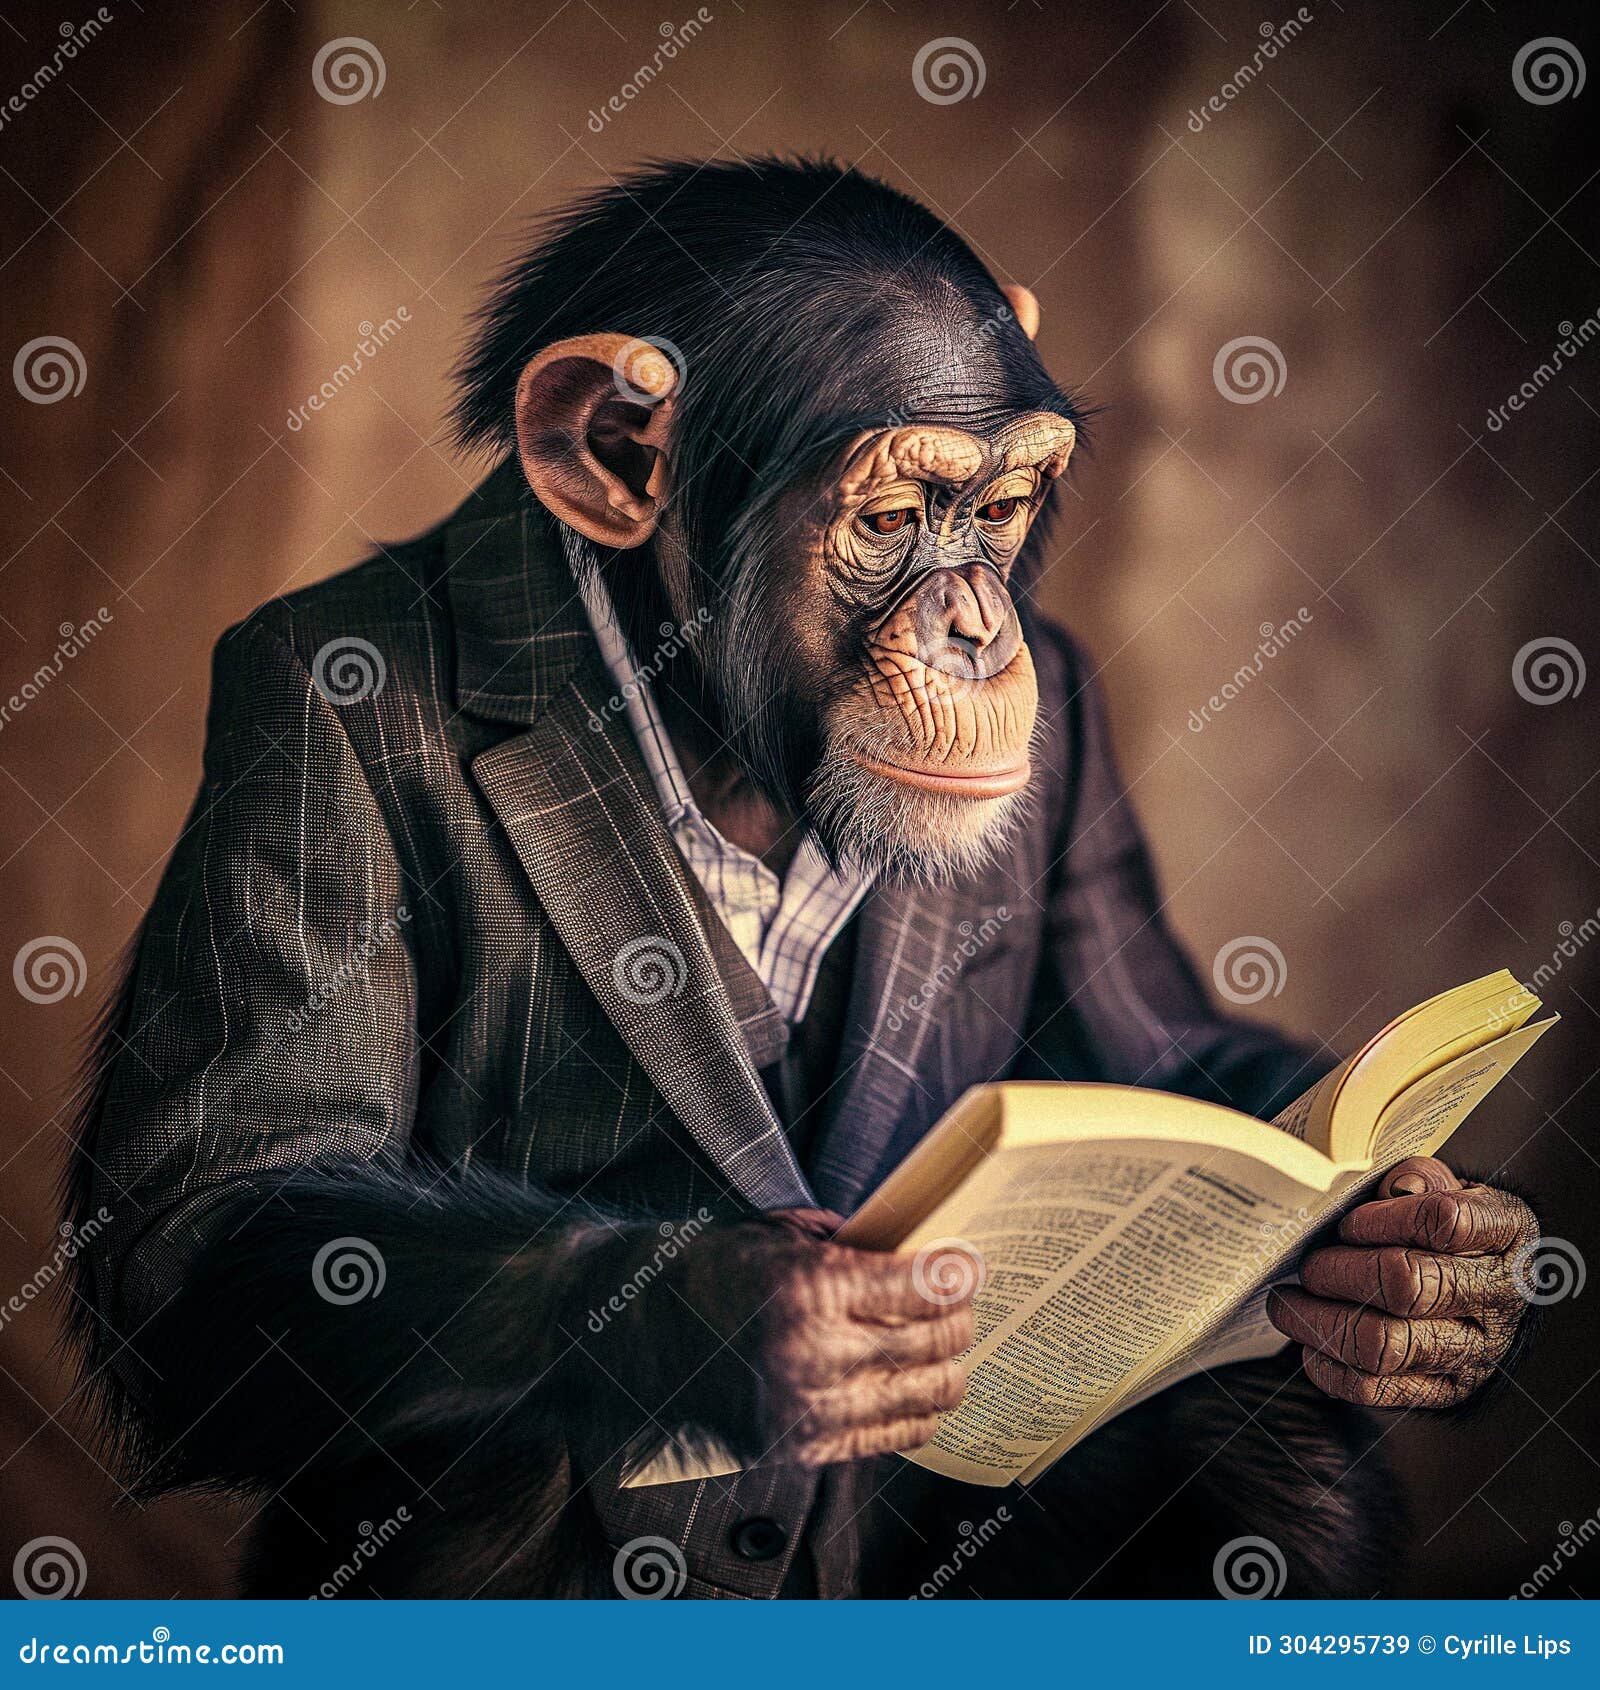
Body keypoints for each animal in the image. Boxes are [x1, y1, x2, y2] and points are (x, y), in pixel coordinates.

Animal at [64, 158, 1539, 1599]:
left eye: (1000, 511)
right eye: (889, 517)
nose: (977, 630)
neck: (723, 738)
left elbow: (1164, 1042)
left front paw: (1431, 1269)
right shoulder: (298, 730)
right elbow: (220, 1215)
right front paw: (762, 1320)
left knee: (1259, 1424)